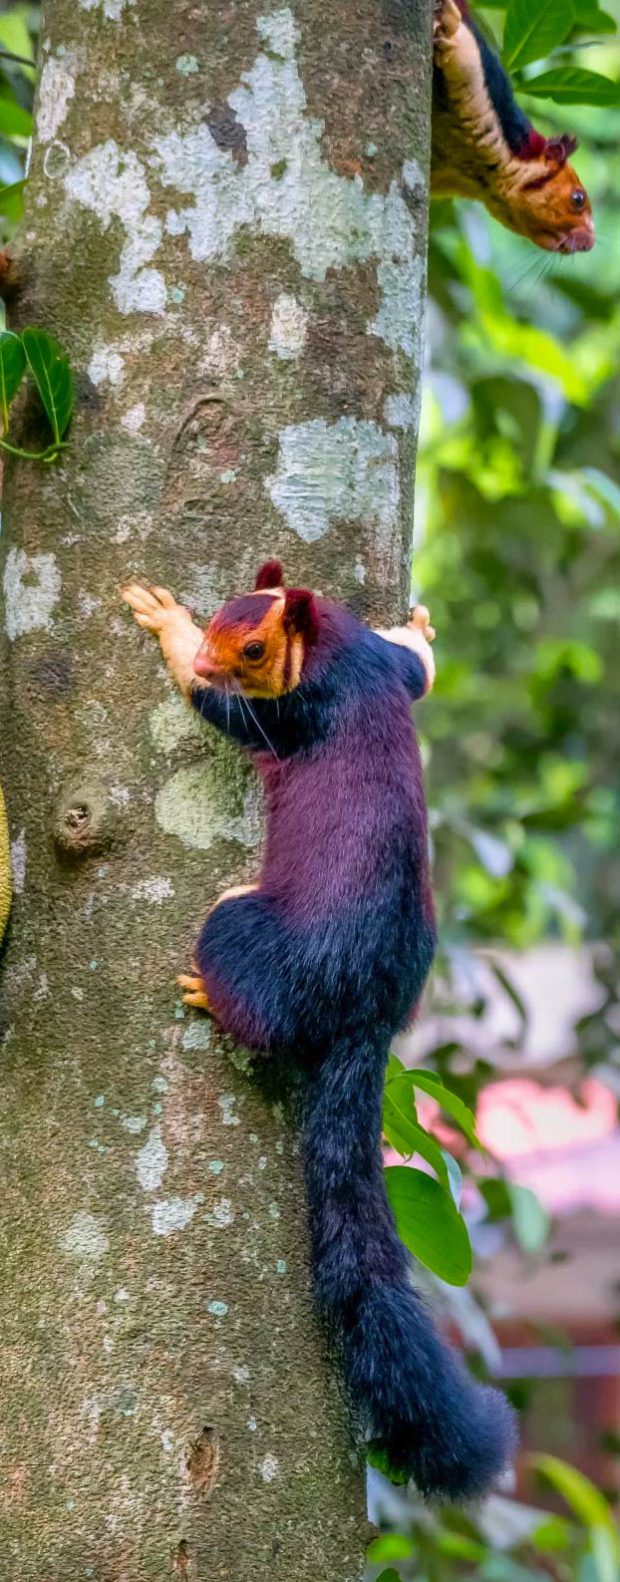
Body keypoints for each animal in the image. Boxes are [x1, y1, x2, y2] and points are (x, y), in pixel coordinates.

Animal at [122, 564, 516, 1500]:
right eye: (230, 611)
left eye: (250, 647)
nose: (211, 651)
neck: (333, 648)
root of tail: (370, 1016)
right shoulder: (384, 671)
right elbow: (419, 672)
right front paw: (421, 629)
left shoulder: (298, 711)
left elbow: (216, 710)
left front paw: (166, 628)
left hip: (252, 936)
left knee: (254, 996)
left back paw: (210, 991)